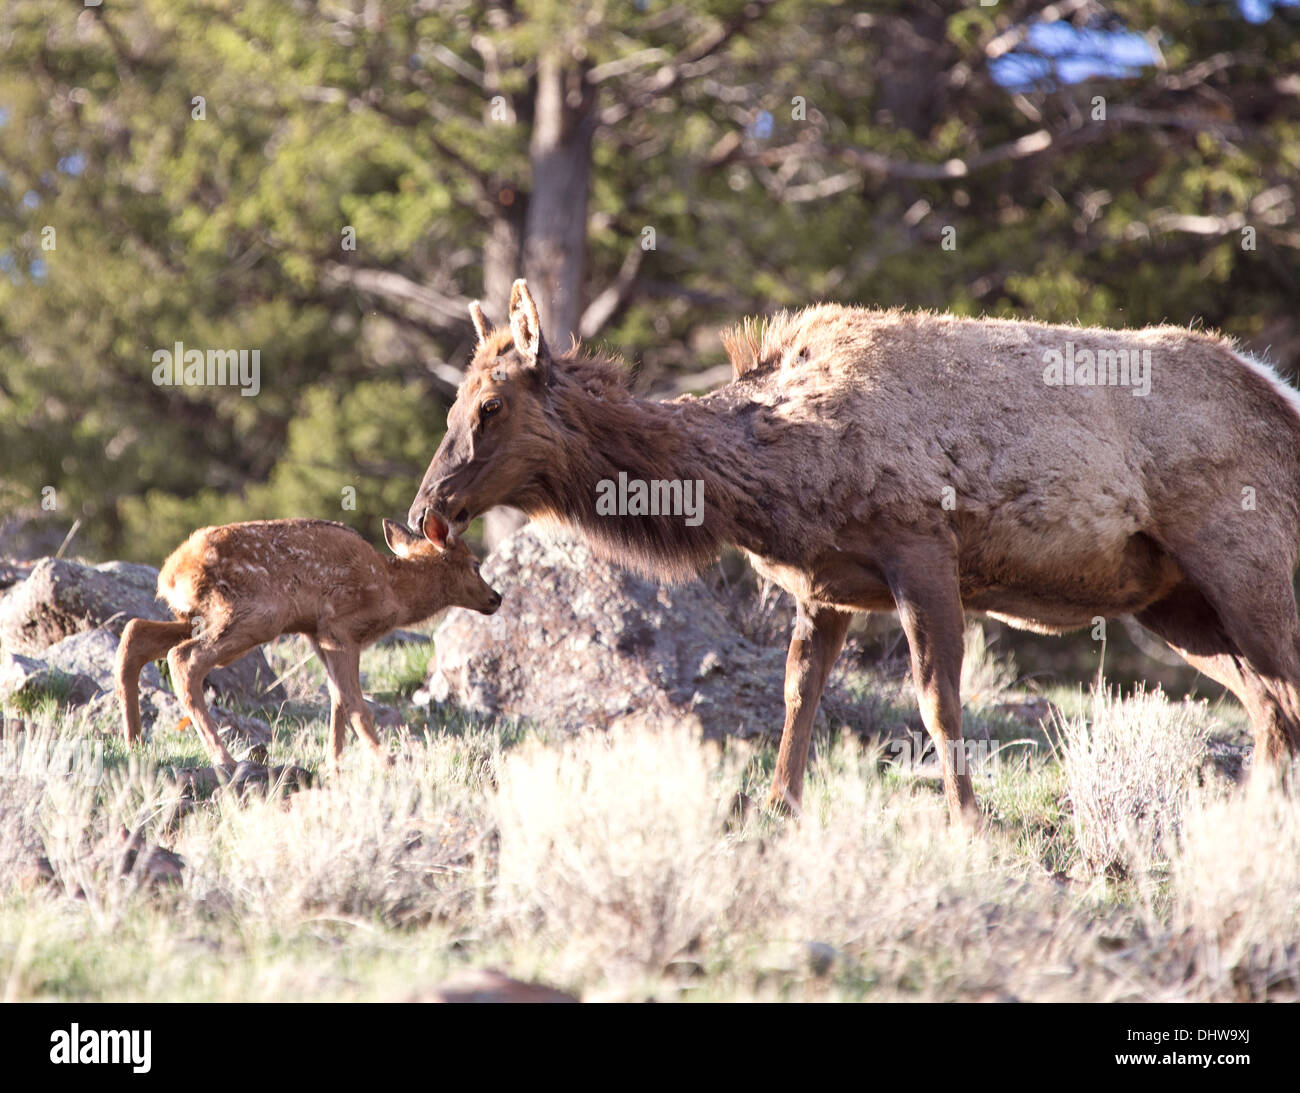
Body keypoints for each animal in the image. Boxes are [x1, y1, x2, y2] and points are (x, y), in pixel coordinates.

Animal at [115, 517, 501, 771]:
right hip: (256, 615)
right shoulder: (340, 626)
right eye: (475, 564)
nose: (496, 598)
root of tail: (170, 575)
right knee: (183, 658)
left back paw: (134, 742)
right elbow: (354, 699)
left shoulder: (315, 633)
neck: (393, 590)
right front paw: (383, 756)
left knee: (136, 632)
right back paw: (223, 757)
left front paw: (335, 759)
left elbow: (336, 697)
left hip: (199, 617)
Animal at [408, 279, 1300, 824]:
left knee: (1280, 690)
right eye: (453, 401)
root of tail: (1279, 394)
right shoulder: (825, 584)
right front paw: (778, 804)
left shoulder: (924, 547)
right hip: (1173, 602)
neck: (774, 479)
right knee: (1269, 705)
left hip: (1249, 564)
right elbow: (799, 693)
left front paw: (969, 819)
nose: (426, 509)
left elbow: (938, 701)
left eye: (490, 404)